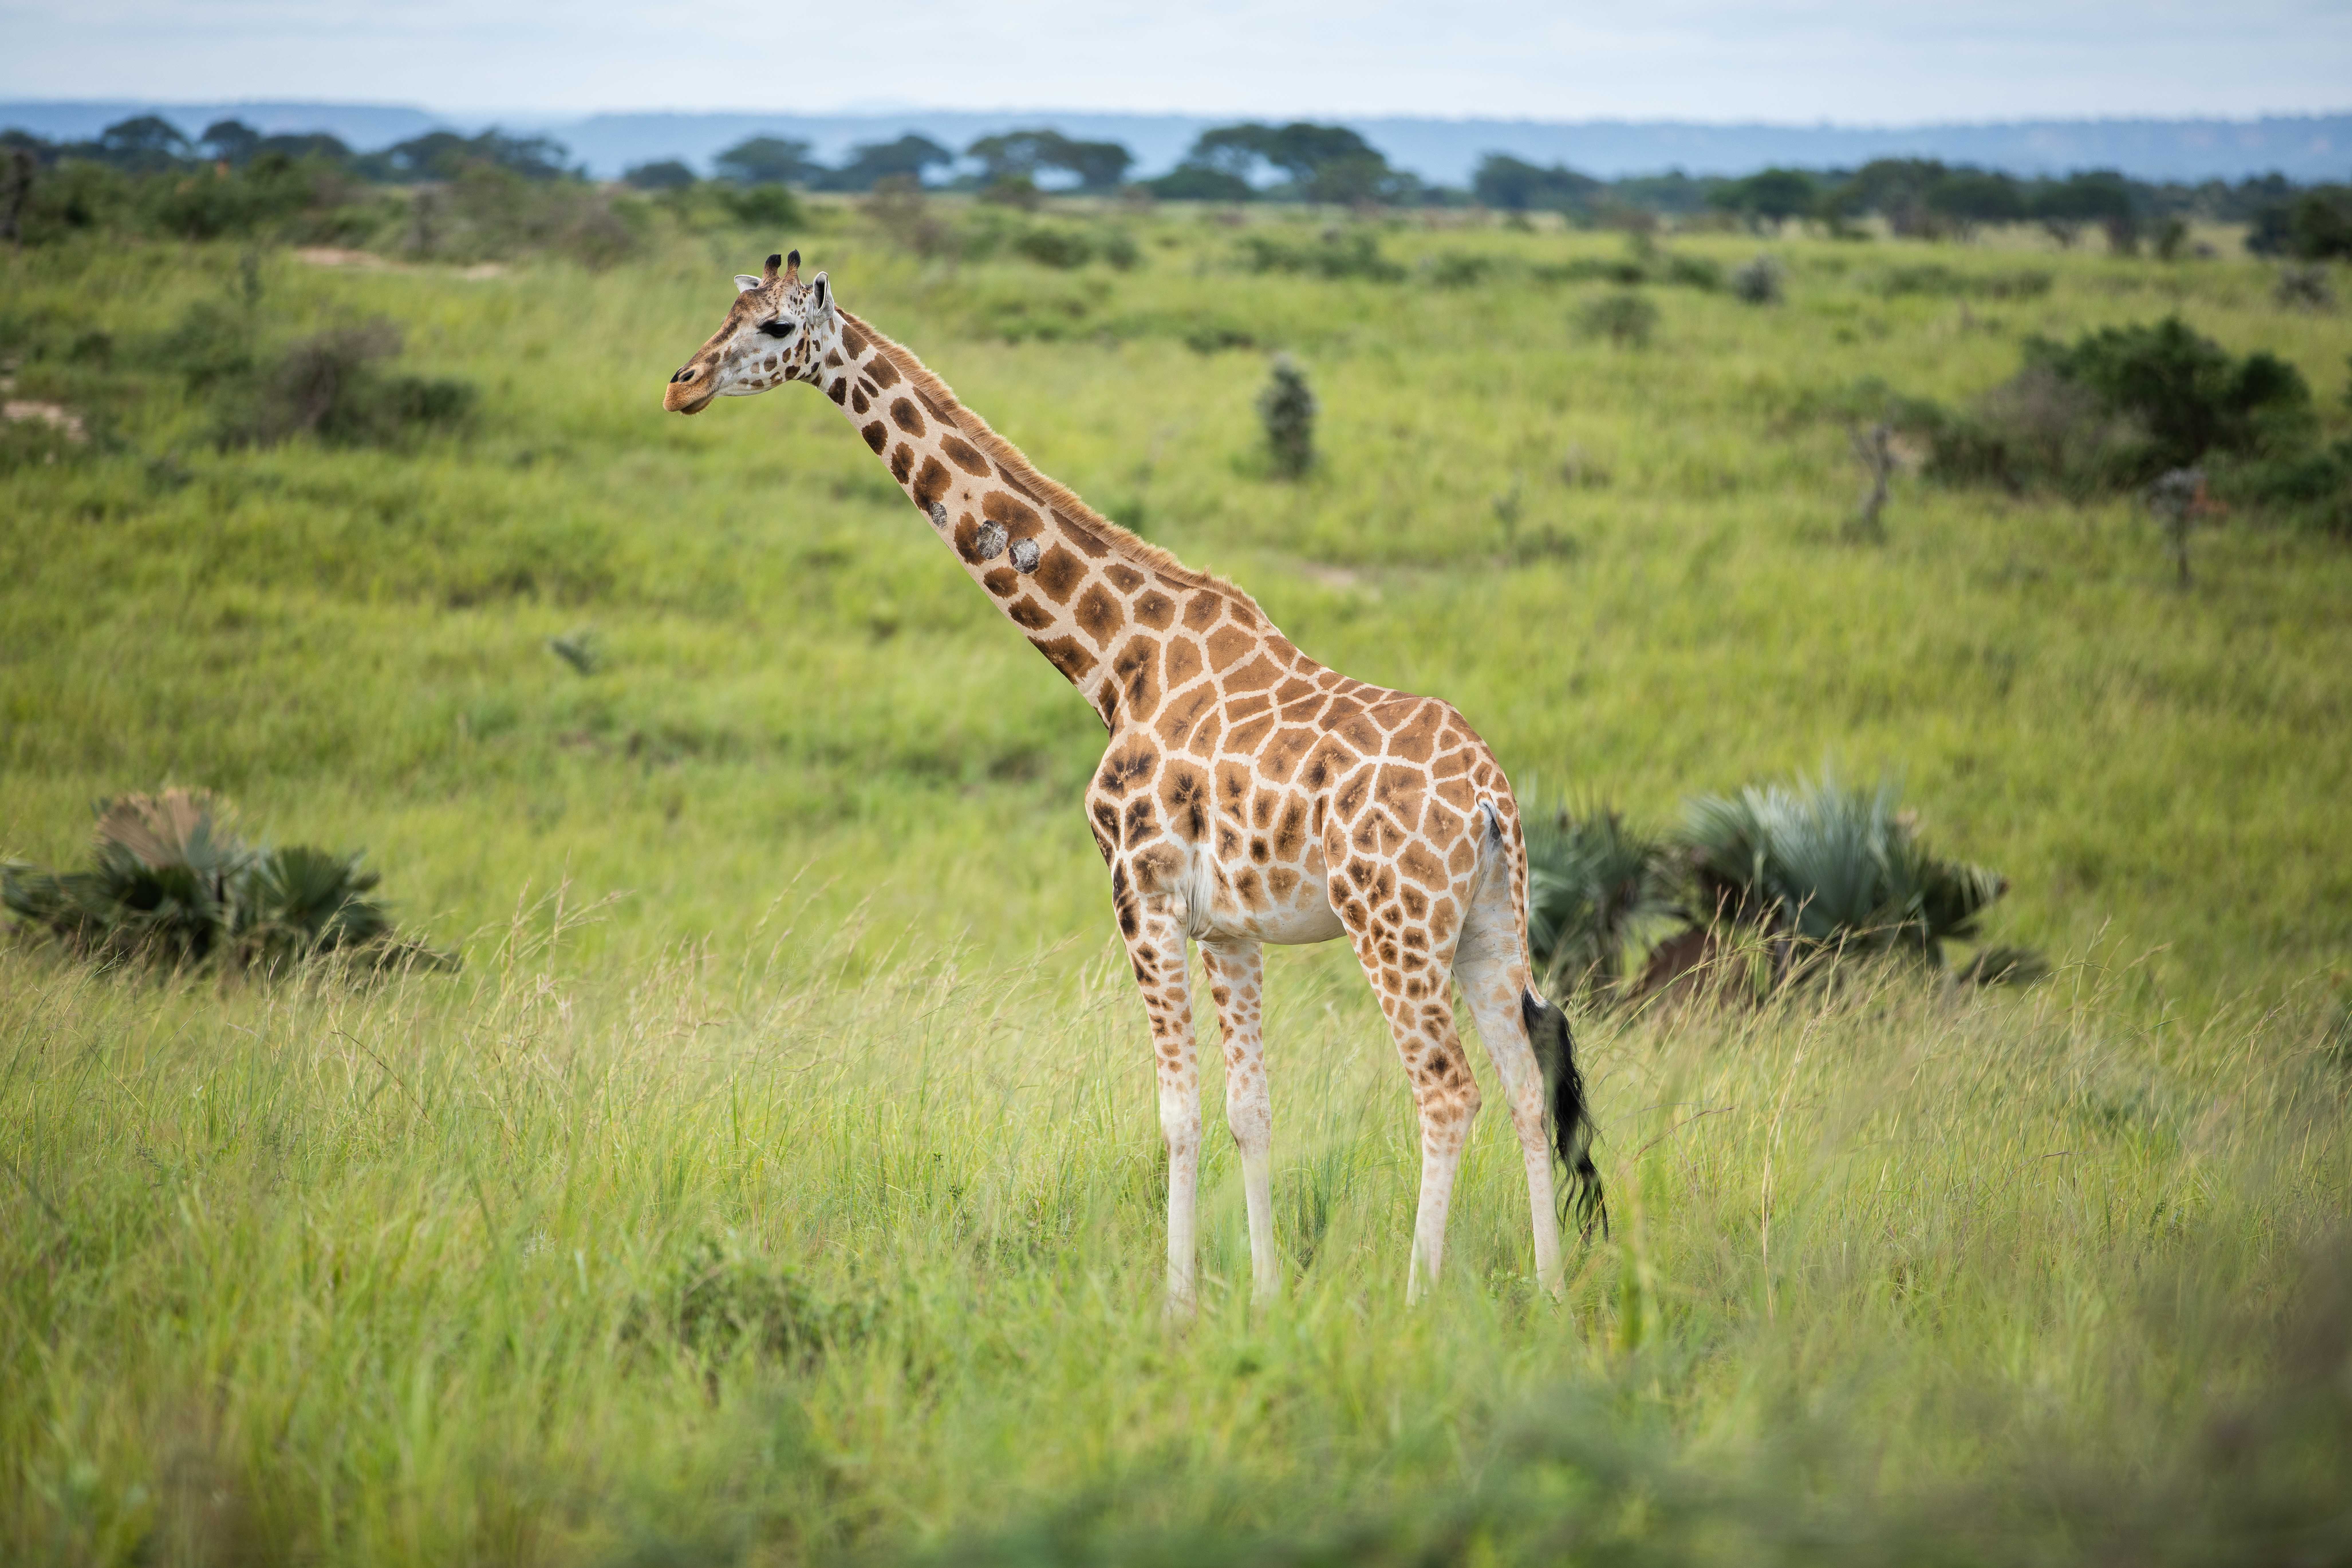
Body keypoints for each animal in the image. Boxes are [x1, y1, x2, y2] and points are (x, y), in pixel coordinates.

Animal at [664, 251, 1605, 1309]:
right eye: (730, 311)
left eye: (779, 328)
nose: (681, 386)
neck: (1117, 660)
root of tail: (1489, 798)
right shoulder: (1228, 924)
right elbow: (1249, 1109)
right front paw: (1264, 1296)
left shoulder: (1139, 893)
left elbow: (1177, 1113)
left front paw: (1175, 1302)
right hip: (1490, 921)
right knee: (1526, 1085)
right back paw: (1549, 1291)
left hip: (1392, 924)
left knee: (1446, 1089)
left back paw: (1415, 1300)